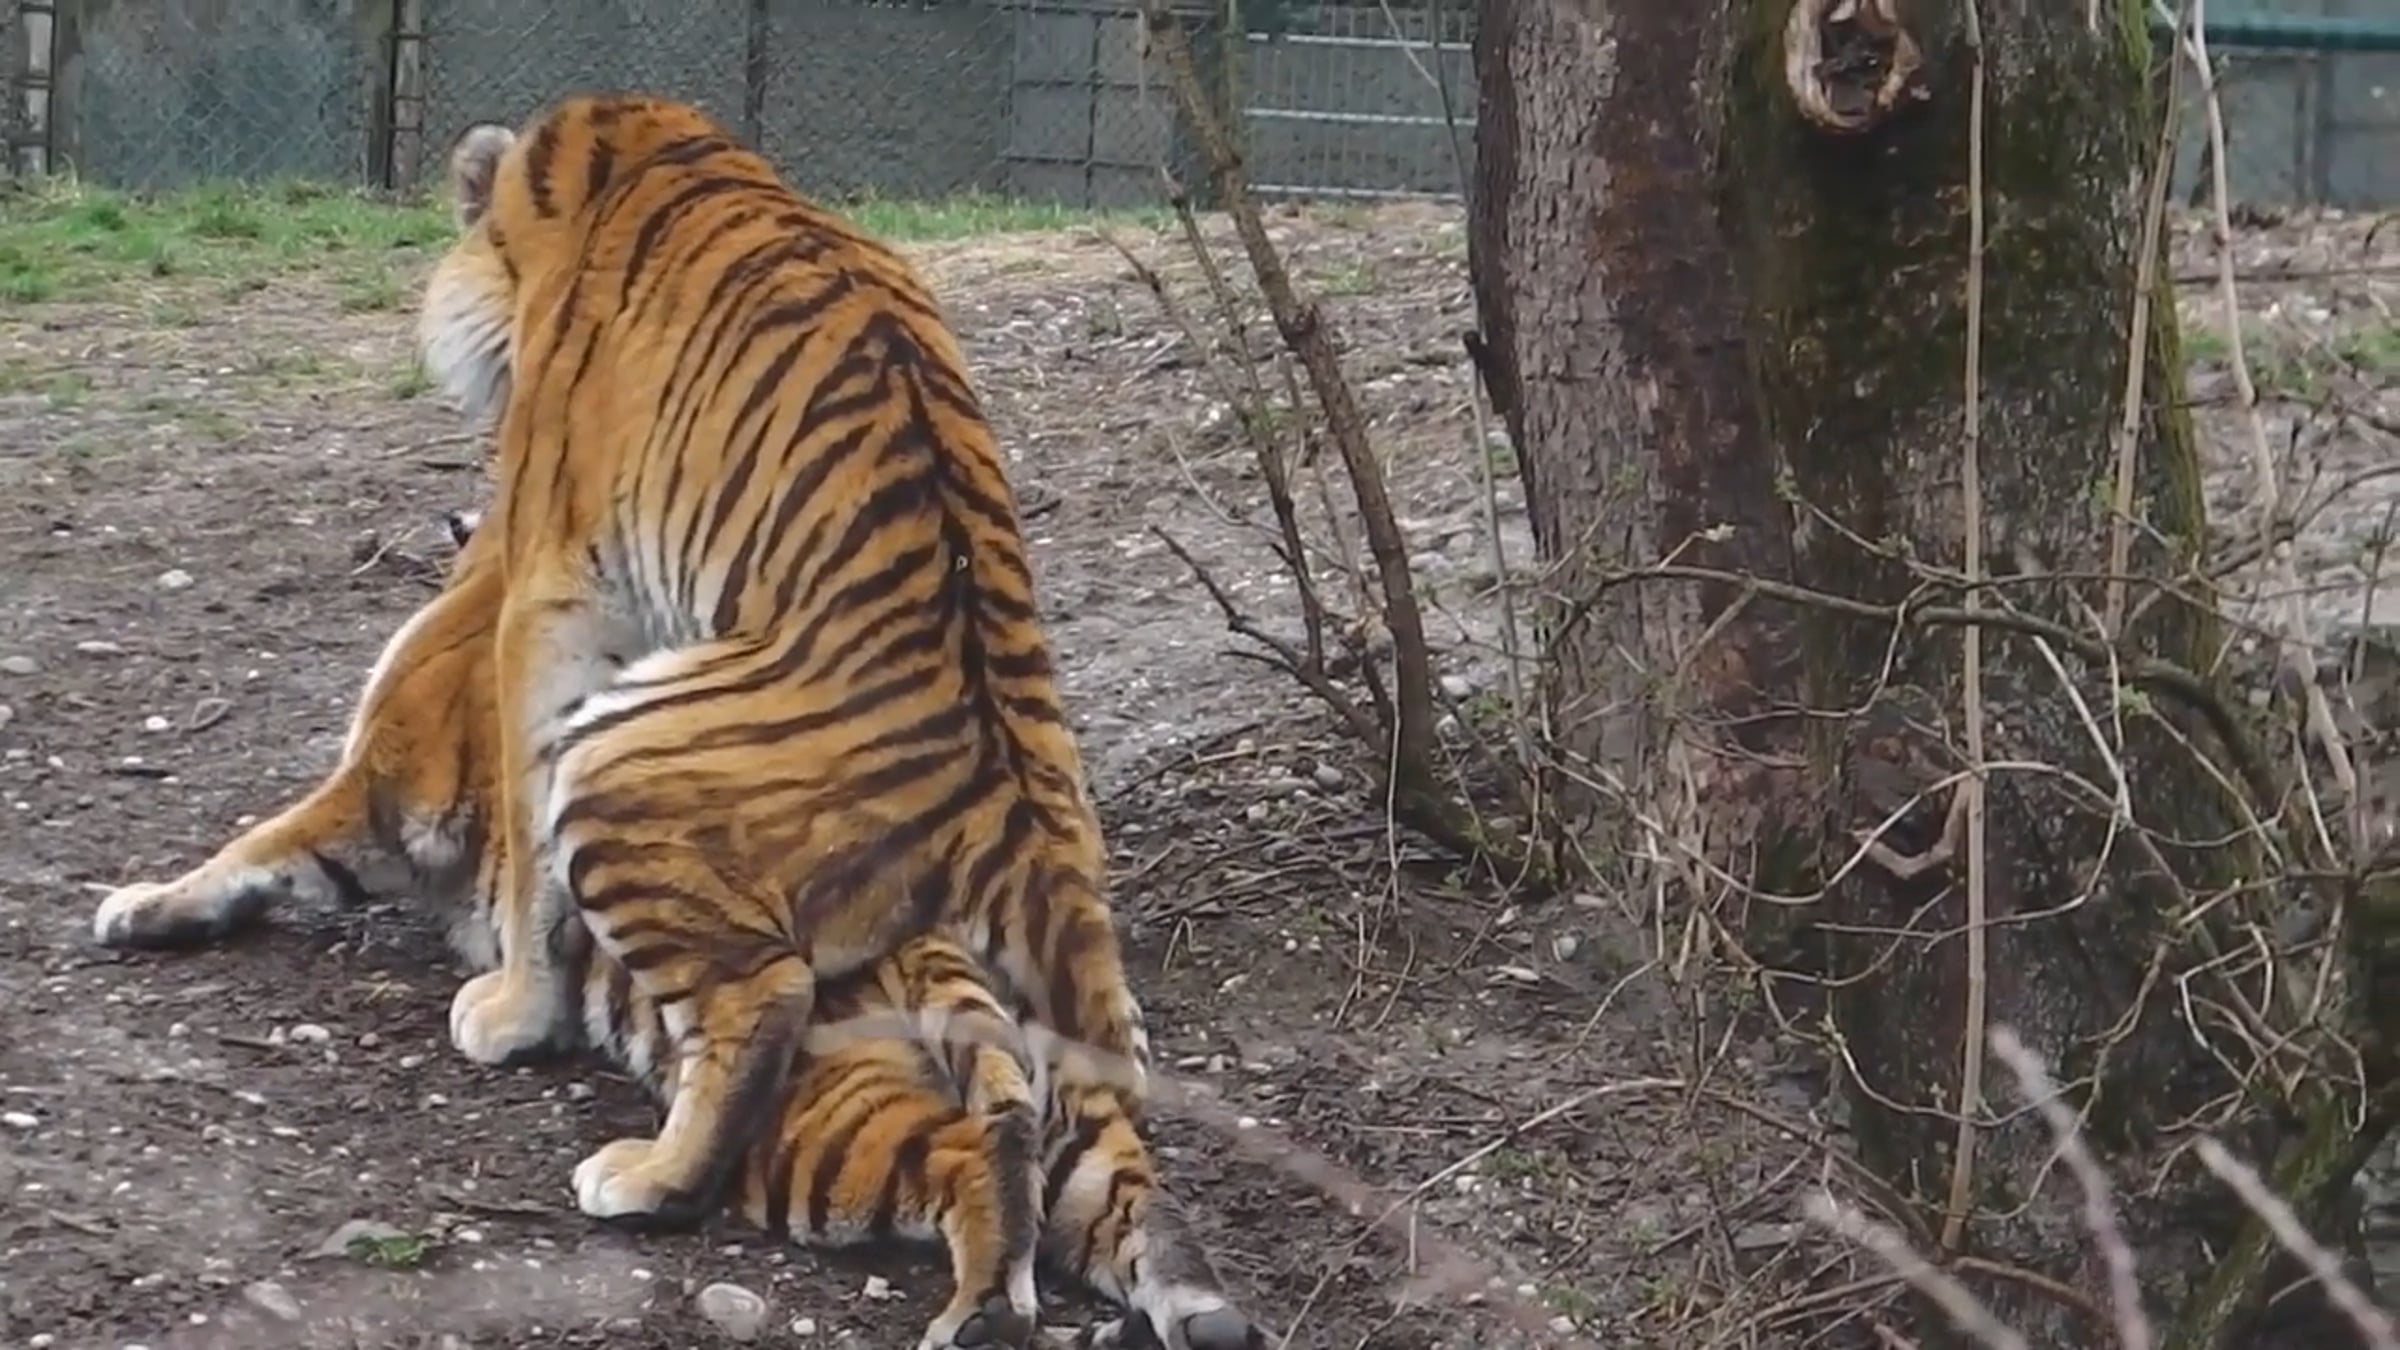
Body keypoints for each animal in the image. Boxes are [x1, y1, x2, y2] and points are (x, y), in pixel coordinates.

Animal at [90, 504, 1271, 1350]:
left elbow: (253, 847)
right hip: (1080, 1116)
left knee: (961, 1162)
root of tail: (937, 940)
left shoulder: (374, 789)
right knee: (1142, 1217)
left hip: (821, 1129)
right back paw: (1199, 1322)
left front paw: (136, 906)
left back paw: (972, 1322)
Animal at [95, 89, 1150, 1242]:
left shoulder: (548, 586)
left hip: (613, 755)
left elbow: (474, 831)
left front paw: (514, 1012)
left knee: (763, 994)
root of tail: (1012, 807)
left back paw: (649, 1177)